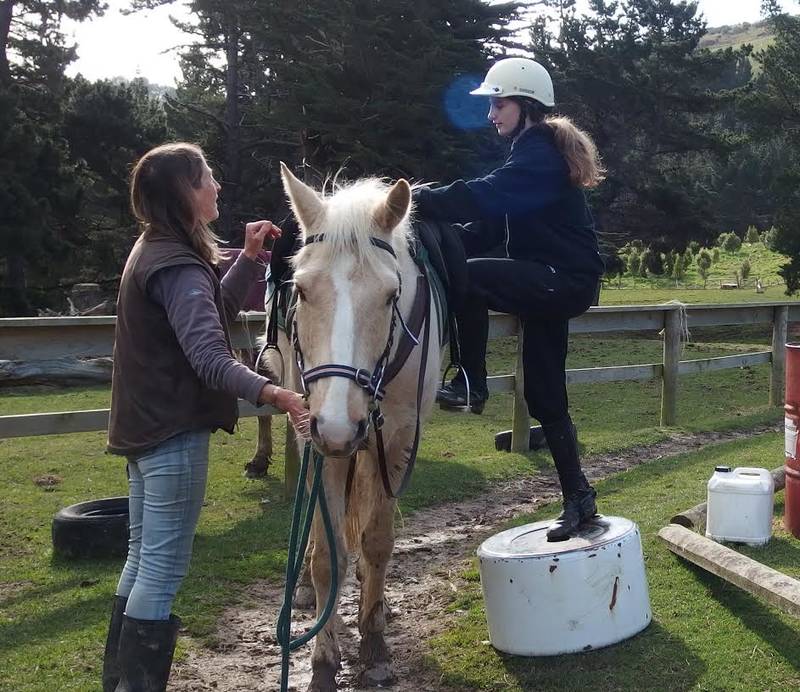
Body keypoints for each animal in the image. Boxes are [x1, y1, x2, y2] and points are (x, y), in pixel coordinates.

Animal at [263, 163, 442, 691]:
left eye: (390, 295)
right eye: (301, 290)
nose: (340, 425)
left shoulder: (396, 438)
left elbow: (377, 542)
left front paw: (374, 644)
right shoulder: (317, 437)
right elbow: (327, 556)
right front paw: (323, 661)